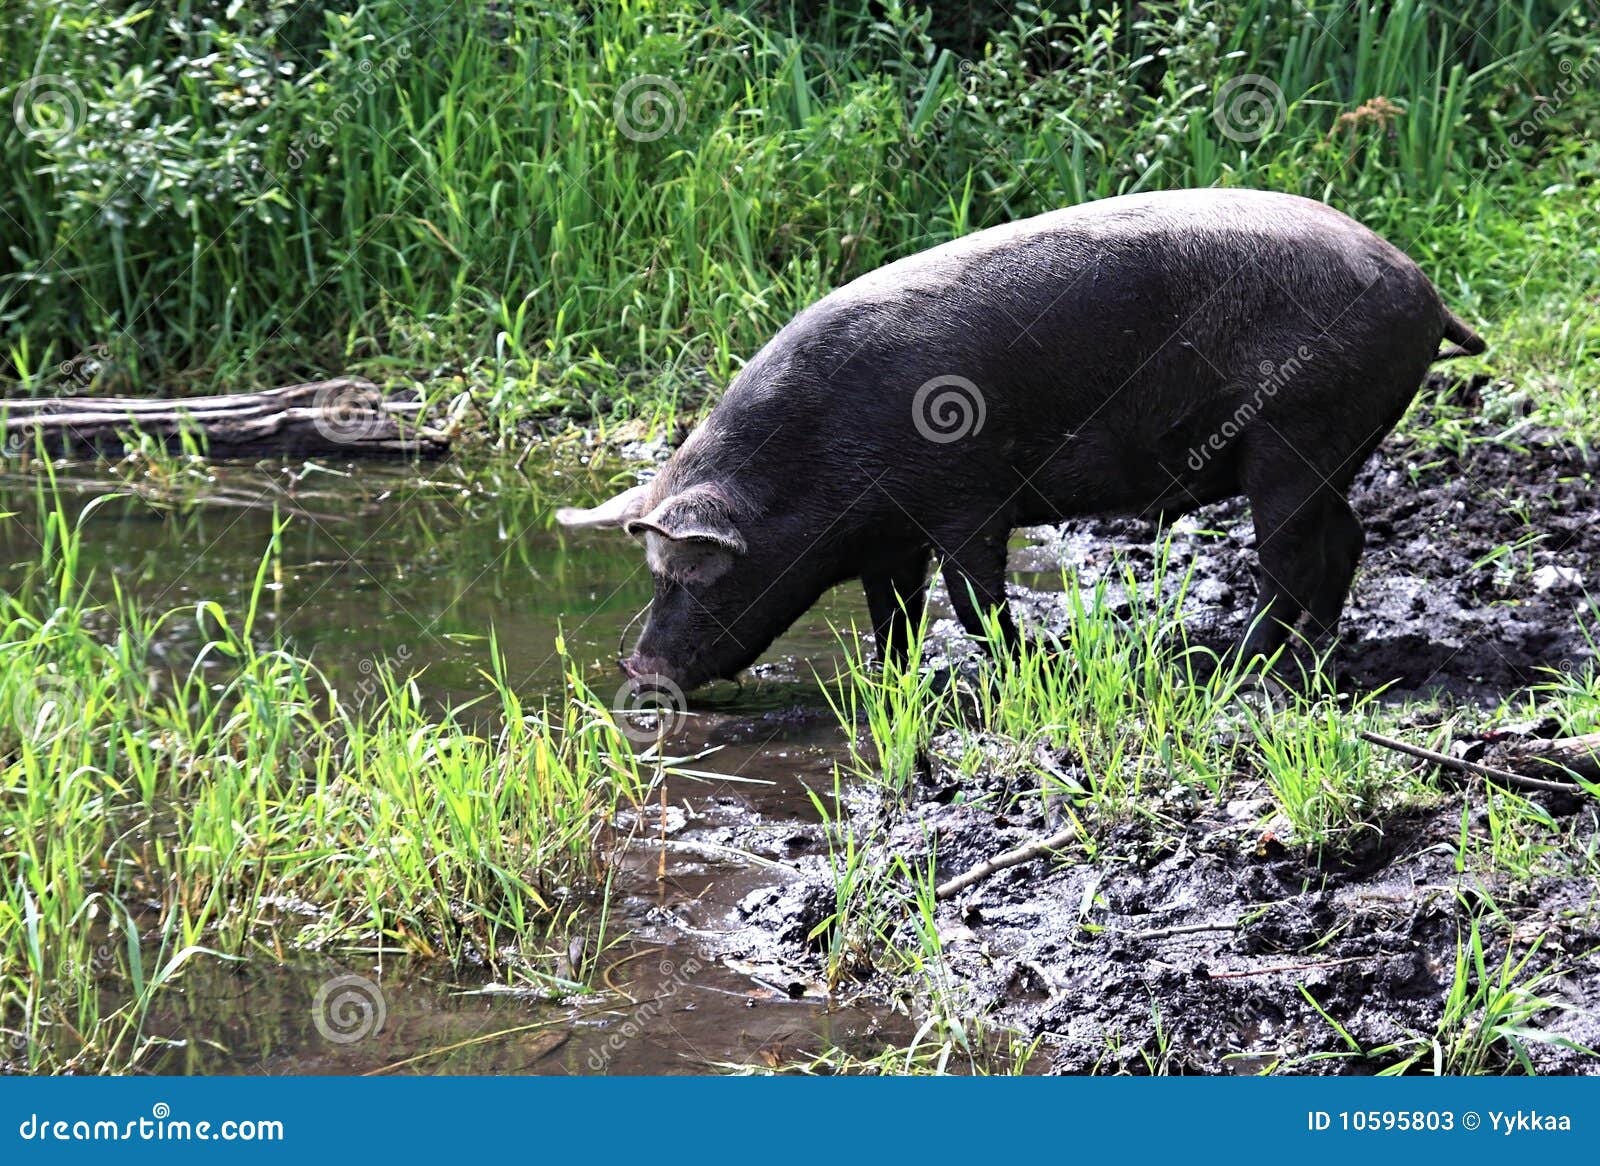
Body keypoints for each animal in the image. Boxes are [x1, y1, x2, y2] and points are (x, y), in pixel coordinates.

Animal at [558, 188, 1485, 692]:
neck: (810, 464)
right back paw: (1314, 656)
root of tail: (1424, 287)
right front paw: (888, 684)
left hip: (1296, 433)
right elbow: (893, 616)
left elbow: (972, 601)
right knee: (1346, 539)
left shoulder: (968, 494)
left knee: (1290, 555)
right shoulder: (888, 535)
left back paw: (1239, 669)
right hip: (1334, 446)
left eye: (690, 575)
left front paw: (1025, 669)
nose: (635, 670)